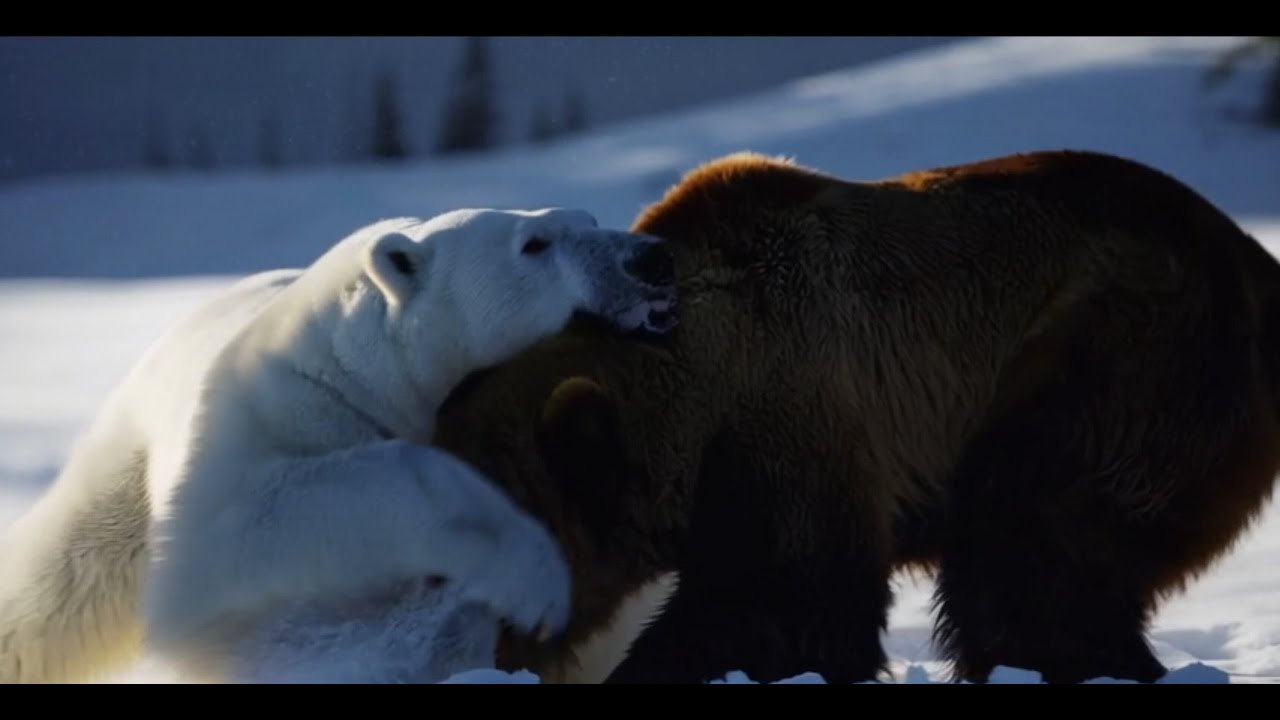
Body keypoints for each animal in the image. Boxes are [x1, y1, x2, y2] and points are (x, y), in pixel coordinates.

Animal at [0, 206, 678, 684]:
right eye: (534, 243)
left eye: (591, 220)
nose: (650, 257)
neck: (356, 366)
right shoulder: (263, 425)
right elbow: (244, 524)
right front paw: (530, 573)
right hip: (127, 454)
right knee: (64, 576)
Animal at [429, 150, 1280, 685]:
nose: (479, 648)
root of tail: (1253, 259)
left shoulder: (796, 420)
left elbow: (785, 606)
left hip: (1121, 358)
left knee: (1025, 543)